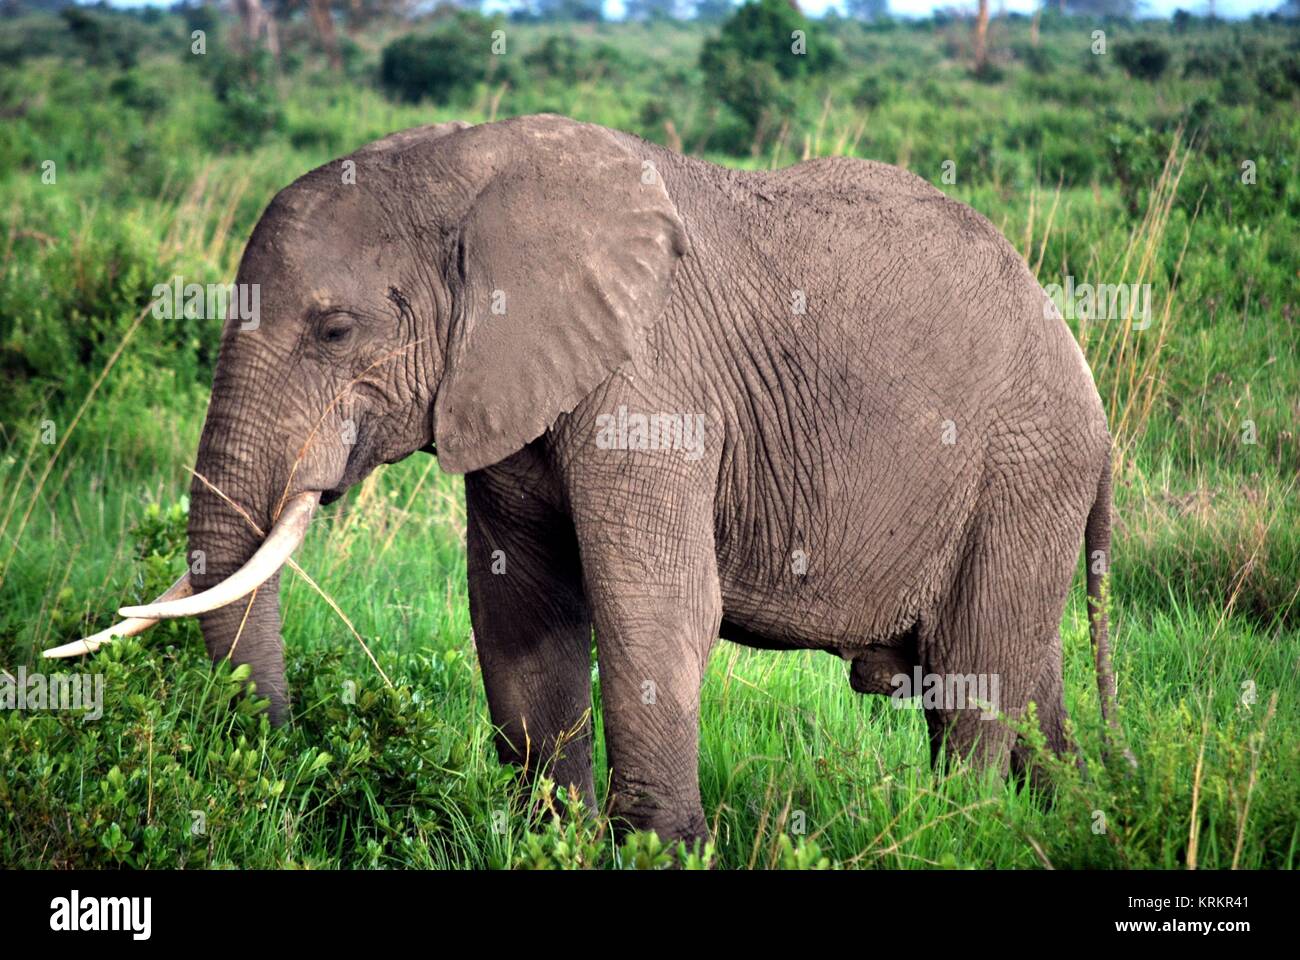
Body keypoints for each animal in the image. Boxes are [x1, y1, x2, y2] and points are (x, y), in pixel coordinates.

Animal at [55, 114, 1124, 842]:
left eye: (335, 330)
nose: (279, 761)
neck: (466, 171)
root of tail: (1092, 388)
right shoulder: (504, 390)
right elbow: (521, 609)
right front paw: (547, 840)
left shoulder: (652, 386)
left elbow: (654, 604)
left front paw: (660, 847)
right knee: (1030, 687)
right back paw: (1074, 815)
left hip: (1022, 469)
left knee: (974, 678)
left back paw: (958, 831)